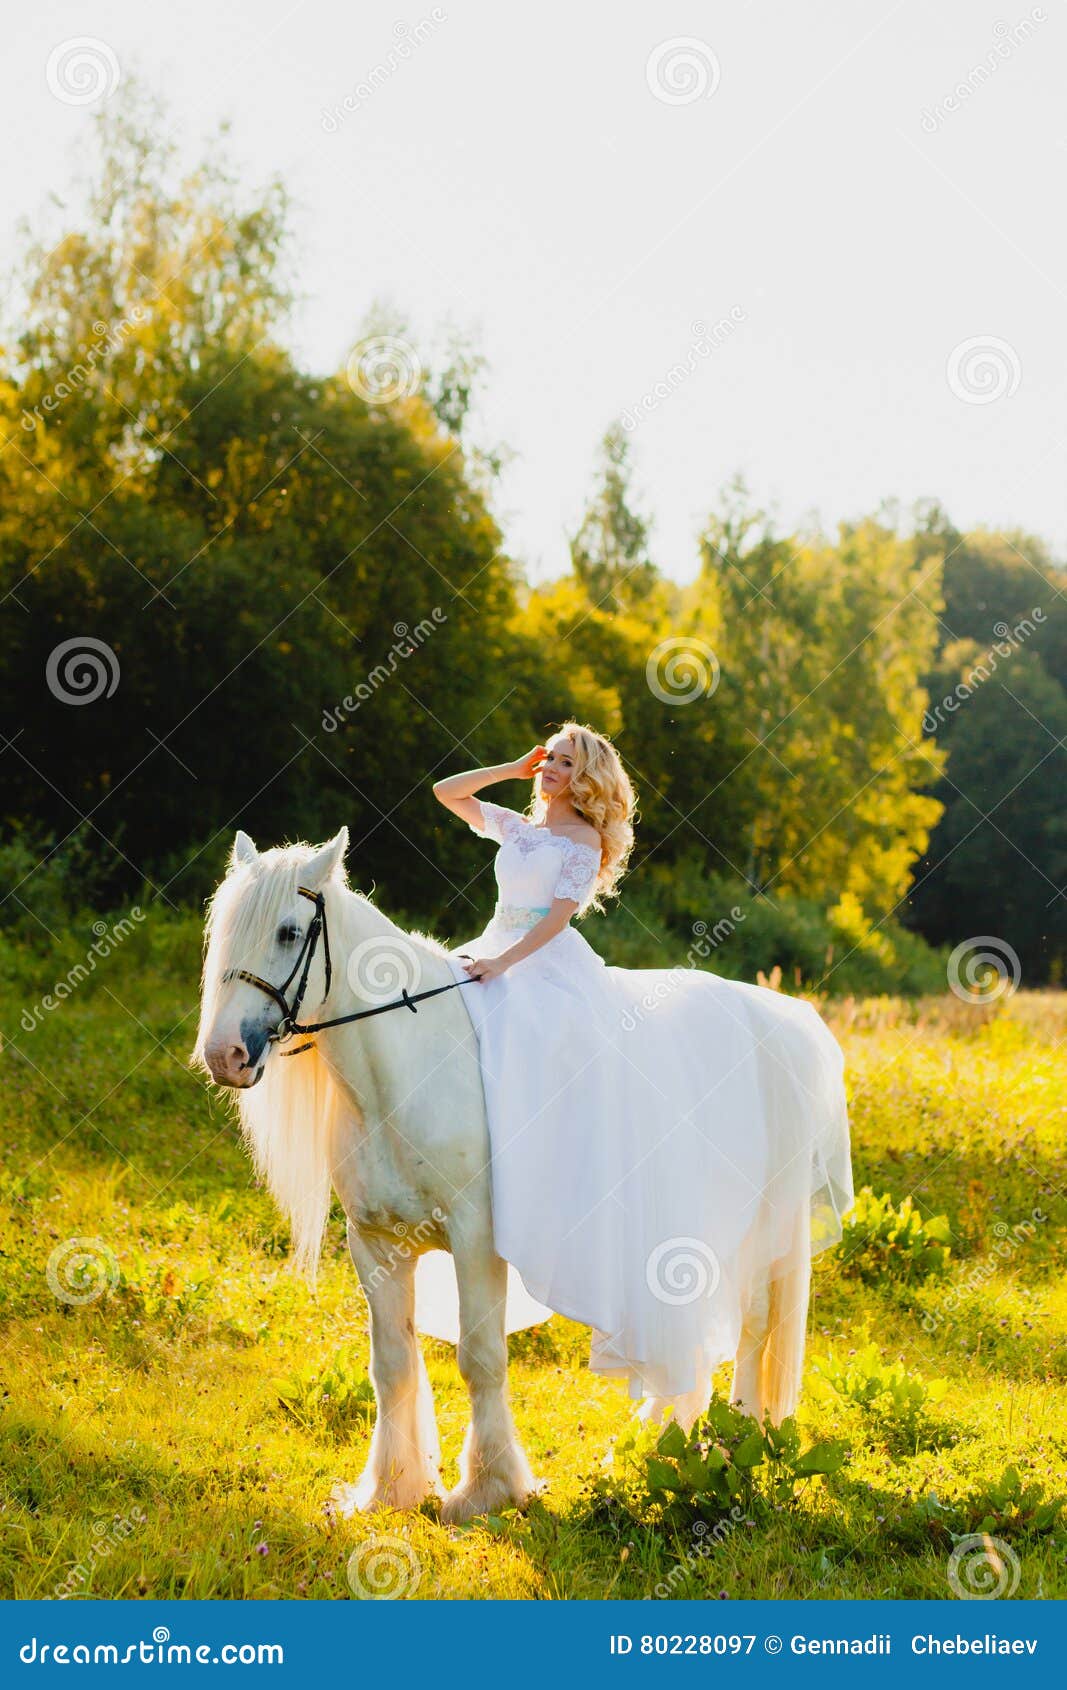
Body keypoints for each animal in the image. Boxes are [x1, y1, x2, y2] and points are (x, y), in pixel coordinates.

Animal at [194, 827, 830, 1523]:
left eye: (288, 932)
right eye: (222, 930)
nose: (223, 1055)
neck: (409, 1071)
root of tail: (773, 1017)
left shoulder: (476, 1241)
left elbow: (481, 1360)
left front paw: (487, 1489)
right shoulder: (376, 1244)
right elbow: (391, 1365)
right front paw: (391, 1488)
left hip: (761, 1232)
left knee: (753, 1326)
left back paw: (736, 1442)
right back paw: (664, 1440)